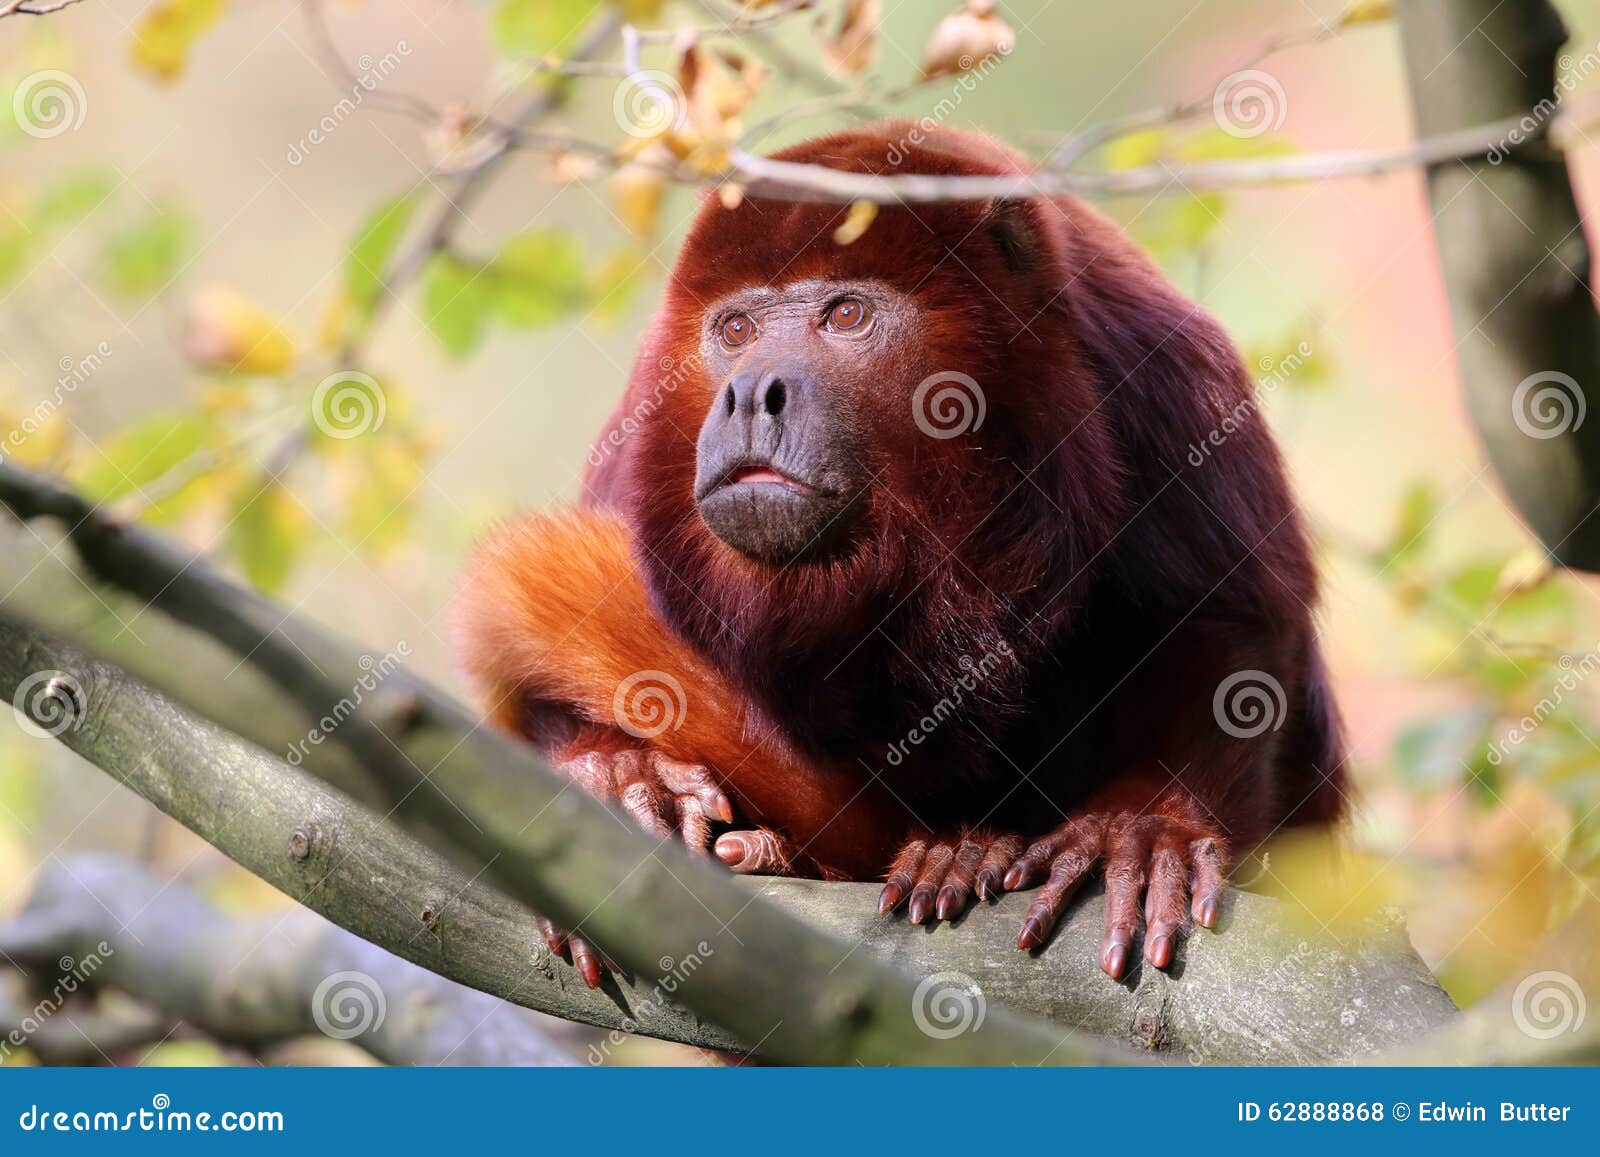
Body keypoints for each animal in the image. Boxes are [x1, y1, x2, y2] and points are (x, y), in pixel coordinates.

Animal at [453, 120, 1347, 988]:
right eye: (735, 329)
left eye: (847, 314)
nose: (745, 393)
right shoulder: (643, 422)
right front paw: (615, 773)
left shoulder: (1163, 364)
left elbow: (1230, 622)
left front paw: (1144, 826)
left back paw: (959, 846)